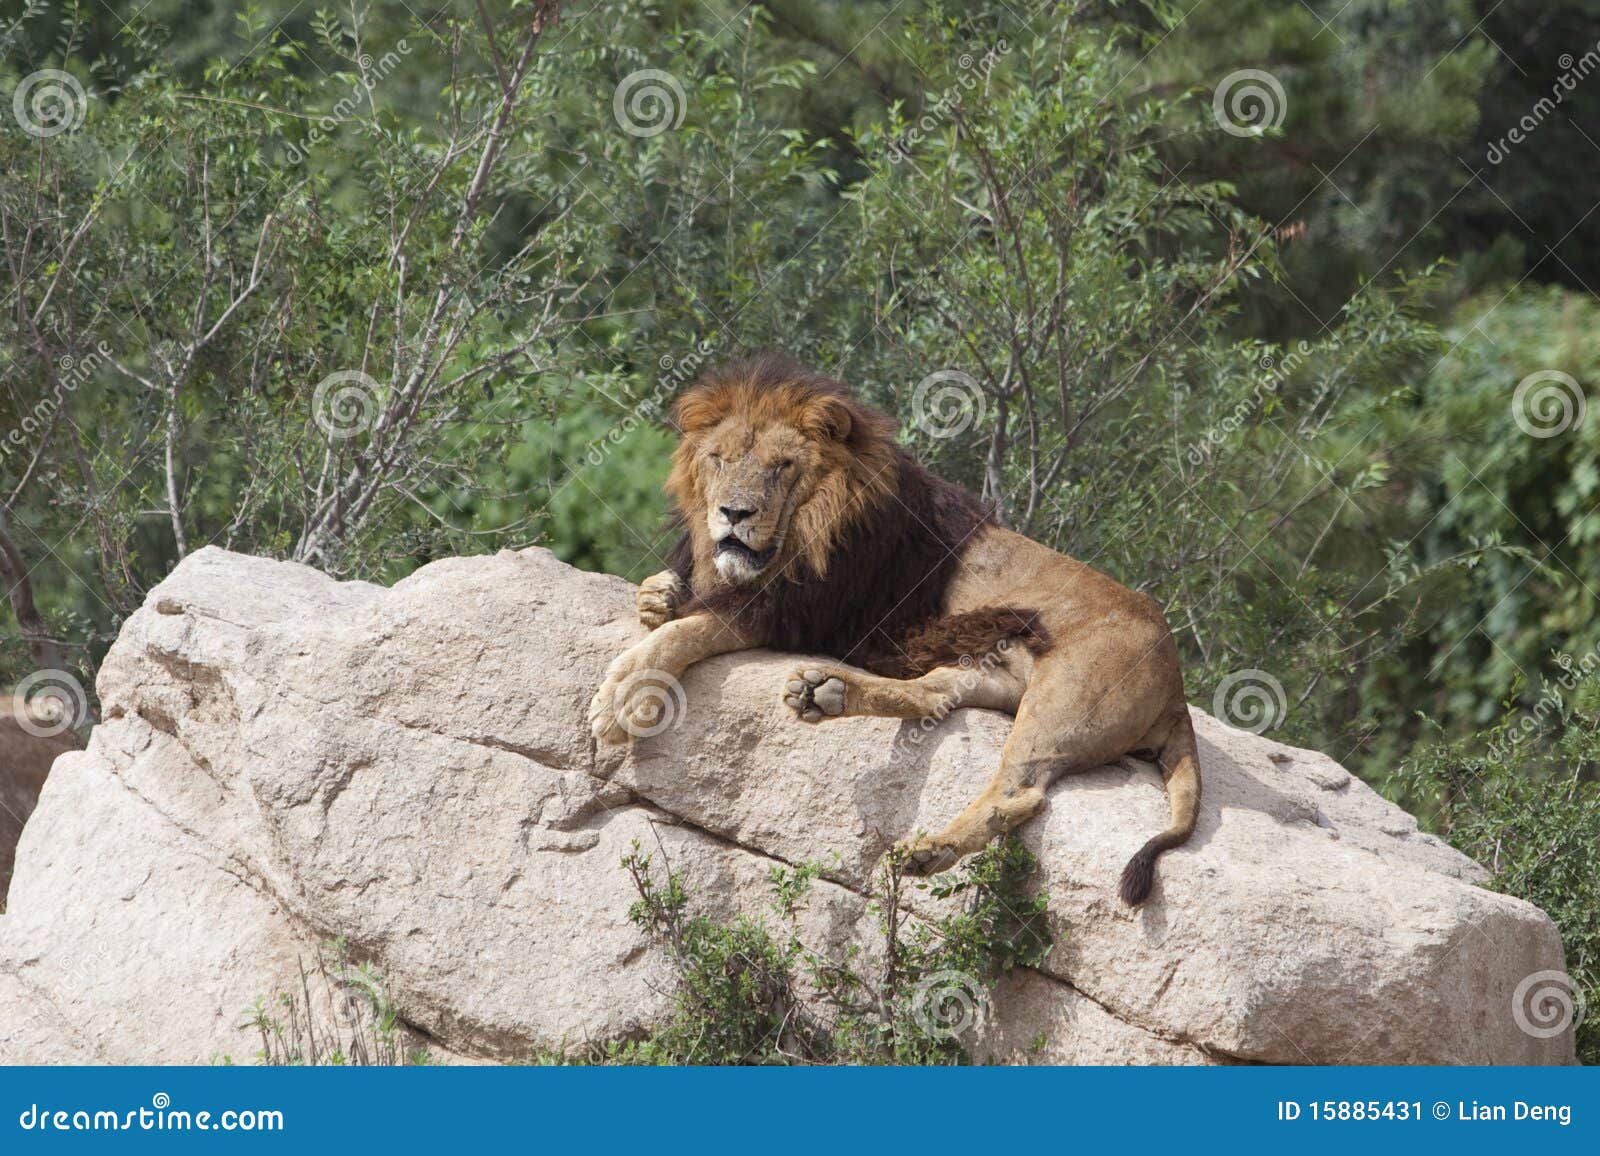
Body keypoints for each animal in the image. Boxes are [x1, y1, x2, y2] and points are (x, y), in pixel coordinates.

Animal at [589, 355, 1201, 905]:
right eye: (717, 459)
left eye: (781, 466)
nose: (733, 514)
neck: (812, 522)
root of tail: (1177, 688)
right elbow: (674, 603)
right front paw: (657, 595)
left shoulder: (798, 610)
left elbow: (690, 631)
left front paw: (624, 695)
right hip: (994, 674)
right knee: (930, 696)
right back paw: (825, 693)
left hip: (1066, 695)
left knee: (1022, 793)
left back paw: (927, 851)